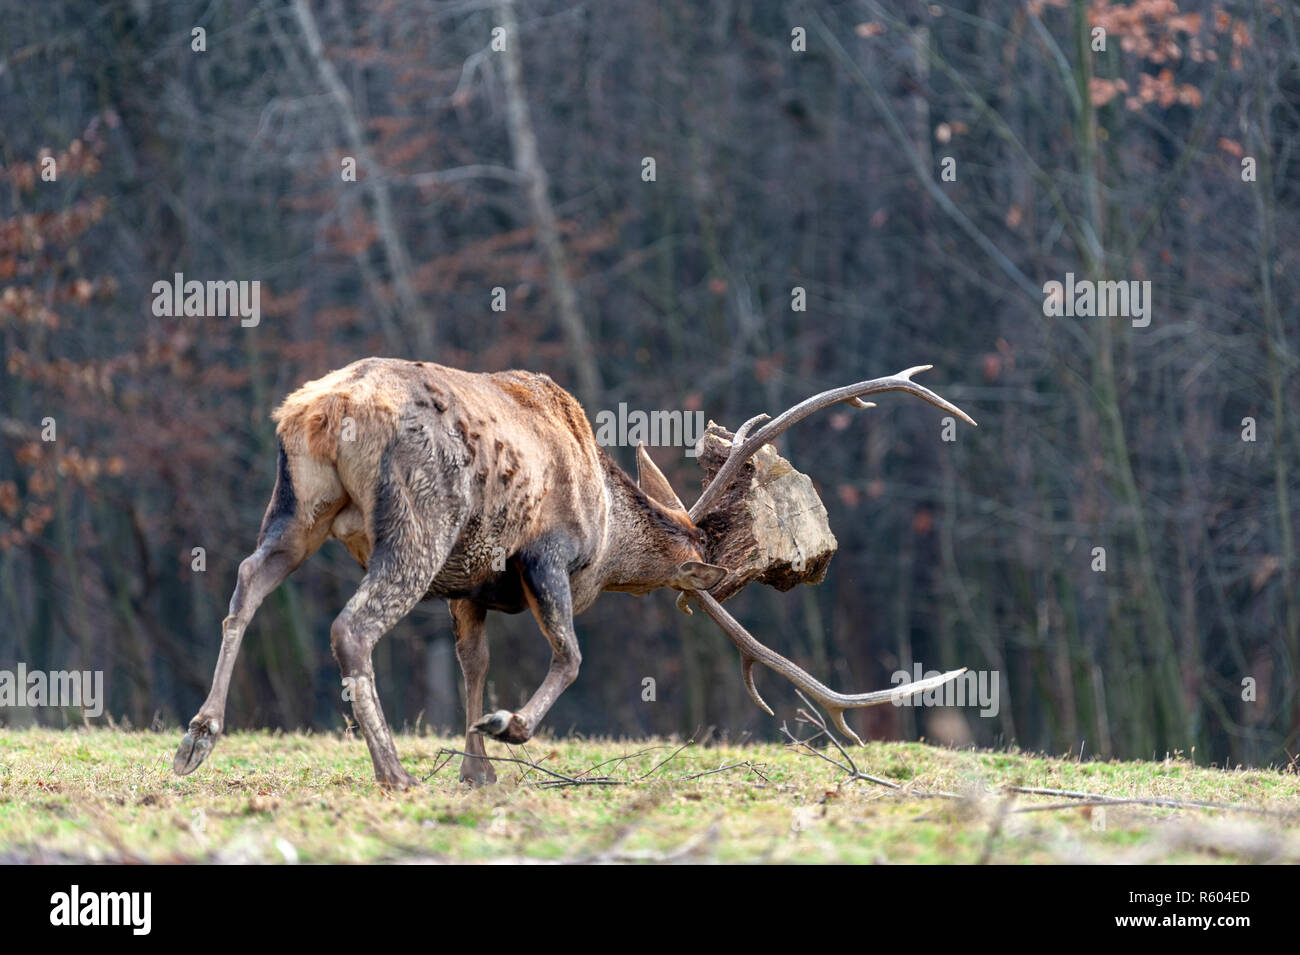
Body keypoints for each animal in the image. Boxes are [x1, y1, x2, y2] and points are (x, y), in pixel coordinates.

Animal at [173, 358, 976, 788]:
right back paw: (392, 769)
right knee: (350, 626)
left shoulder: (470, 584)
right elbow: (571, 655)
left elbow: (473, 662)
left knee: (247, 578)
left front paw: (477, 770)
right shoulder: (547, 555)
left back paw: (198, 737)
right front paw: (507, 729)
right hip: (419, 520)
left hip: (297, 506)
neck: (609, 523)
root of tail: (321, 409)